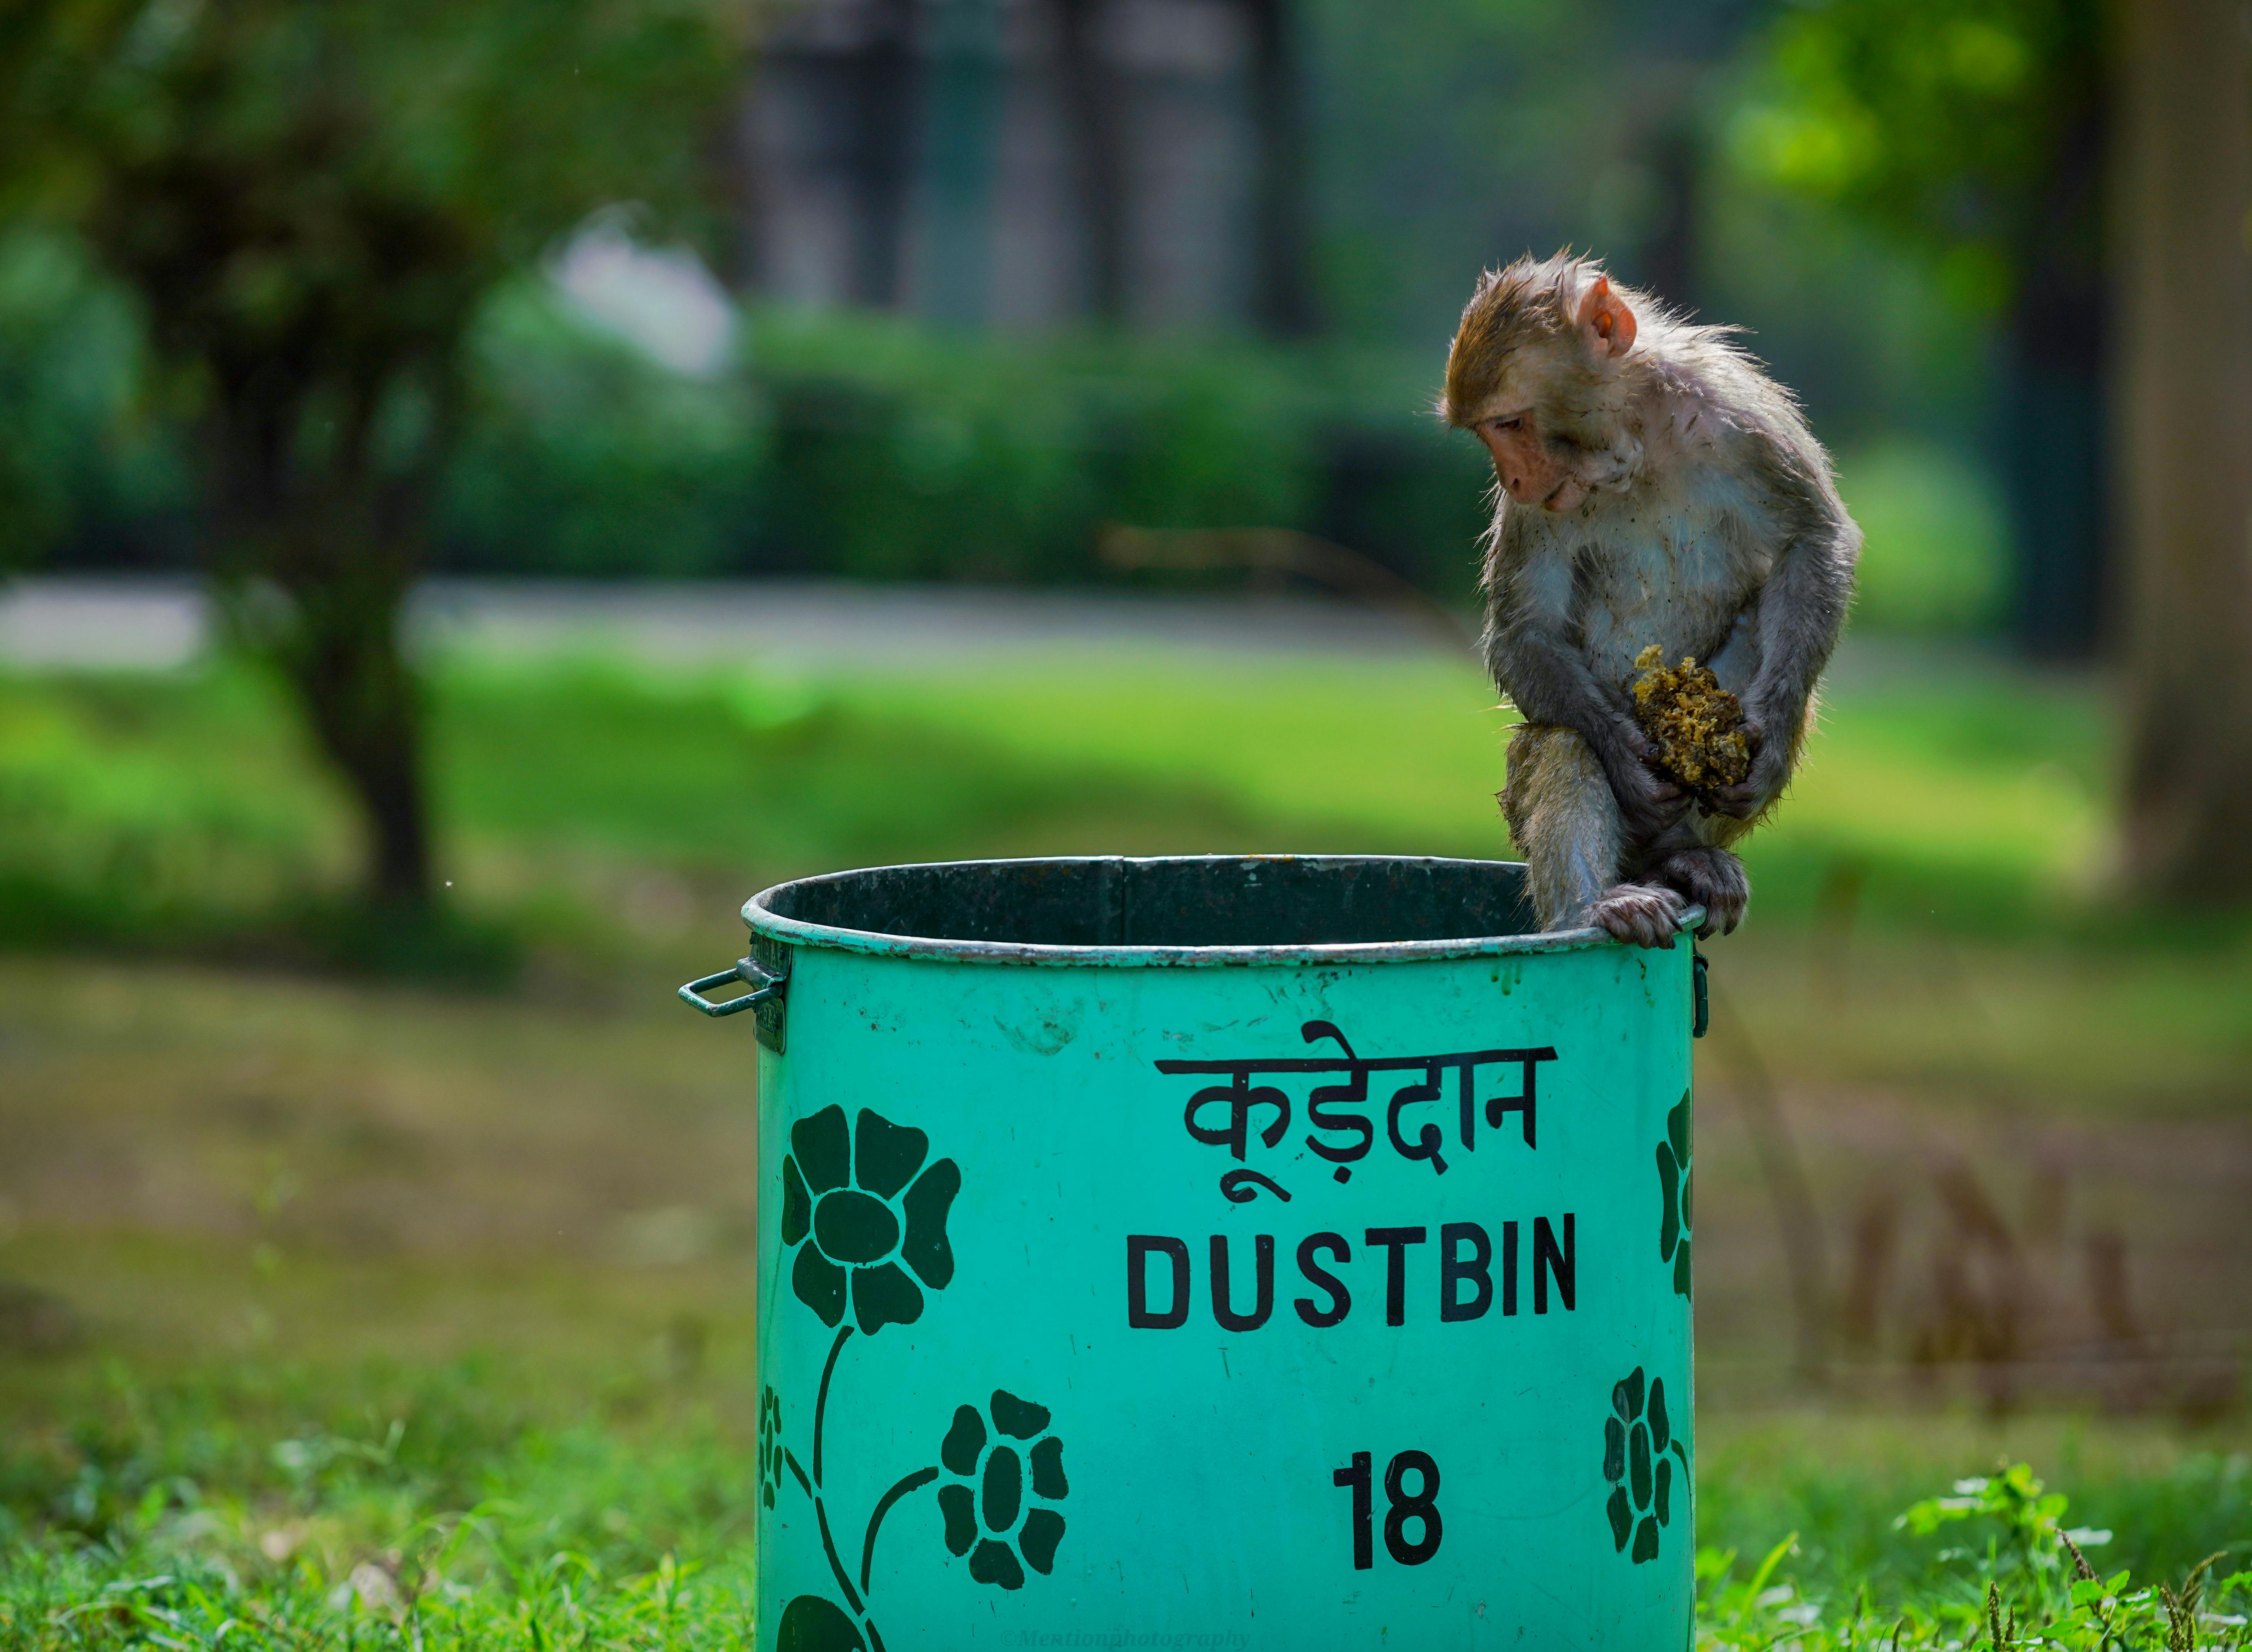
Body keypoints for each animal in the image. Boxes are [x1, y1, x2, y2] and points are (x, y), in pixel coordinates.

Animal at [1441, 253, 1859, 948]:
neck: (1632, 443)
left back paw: (1682, 856)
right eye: (1485, 433)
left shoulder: (1745, 421)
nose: (1512, 477)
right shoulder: (1535, 510)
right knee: (1562, 741)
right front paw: (1626, 759)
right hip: (1521, 805)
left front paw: (1769, 741)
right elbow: (1524, 632)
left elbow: (1812, 540)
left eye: (1510, 423)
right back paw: (1595, 907)